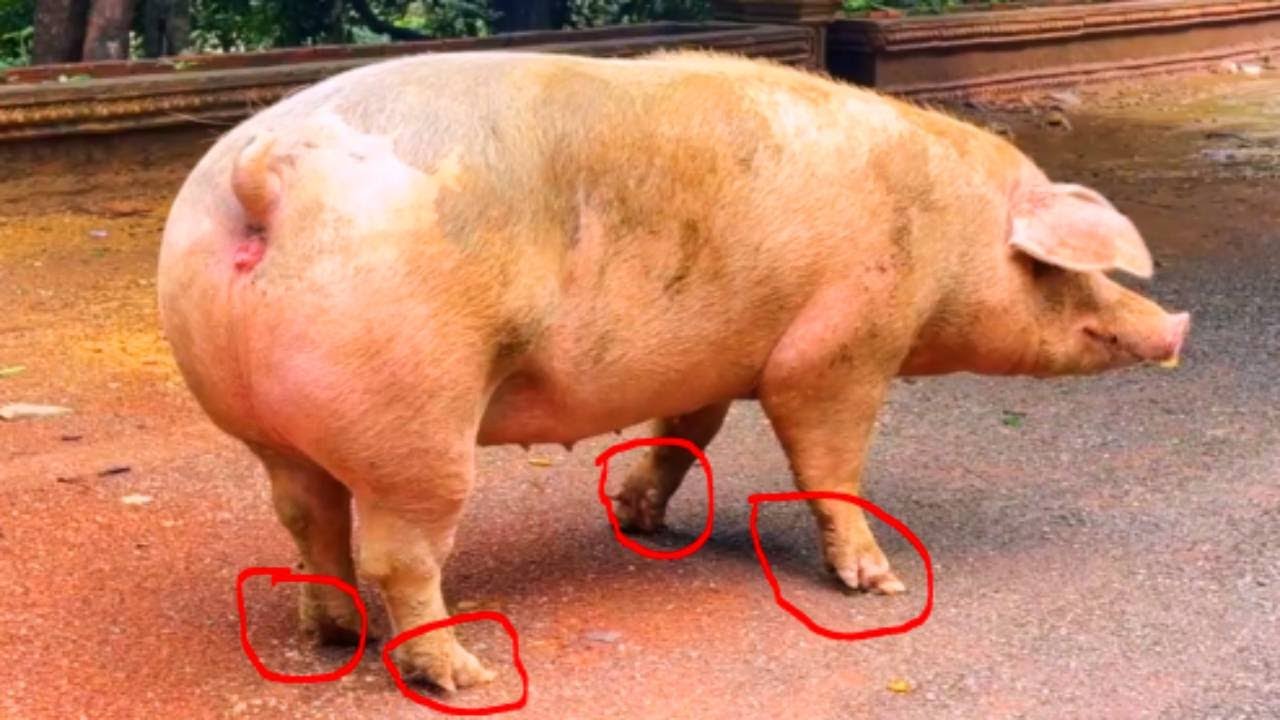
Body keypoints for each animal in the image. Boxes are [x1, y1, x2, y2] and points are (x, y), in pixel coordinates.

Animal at [157, 50, 1189, 691]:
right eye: (1059, 267)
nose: (1175, 327)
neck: (948, 229)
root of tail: (262, 174)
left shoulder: (718, 356)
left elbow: (687, 430)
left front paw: (641, 521)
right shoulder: (842, 342)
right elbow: (829, 455)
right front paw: (879, 584)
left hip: (271, 424)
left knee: (308, 519)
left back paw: (338, 634)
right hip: (416, 410)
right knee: (398, 552)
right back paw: (463, 673)